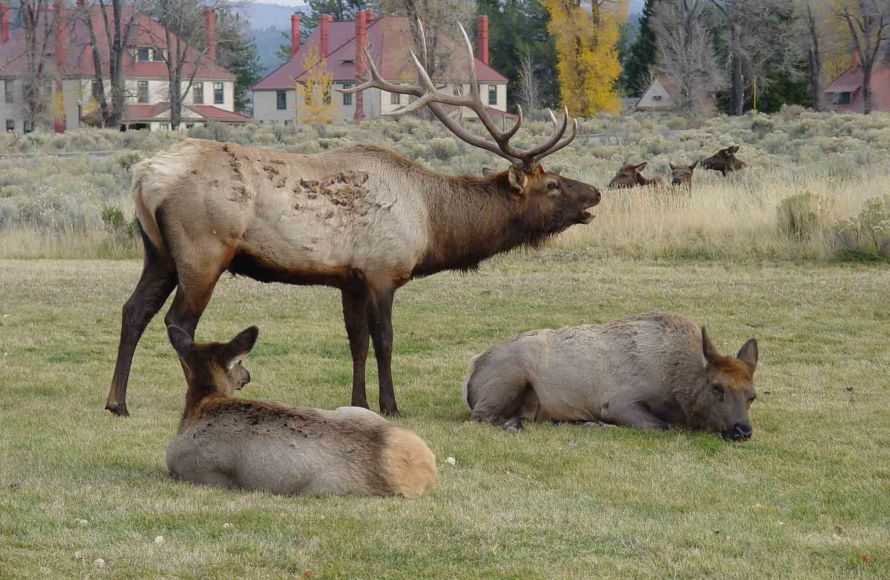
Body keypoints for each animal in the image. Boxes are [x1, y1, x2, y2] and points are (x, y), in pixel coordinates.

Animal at [105, 21, 601, 418]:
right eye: (553, 183)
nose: (594, 191)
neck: (432, 225)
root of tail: (144, 175)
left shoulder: (349, 278)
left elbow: (355, 341)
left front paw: (358, 402)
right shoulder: (383, 270)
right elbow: (384, 339)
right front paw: (391, 405)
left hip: (158, 252)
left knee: (133, 310)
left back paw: (117, 402)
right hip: (203, 251)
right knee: (178, 323)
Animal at [165, 325, 437, 497]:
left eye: (240, 361)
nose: (248, 375)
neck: (200, 406)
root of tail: (429, 470)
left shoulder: (191, 468)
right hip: (354, 409)